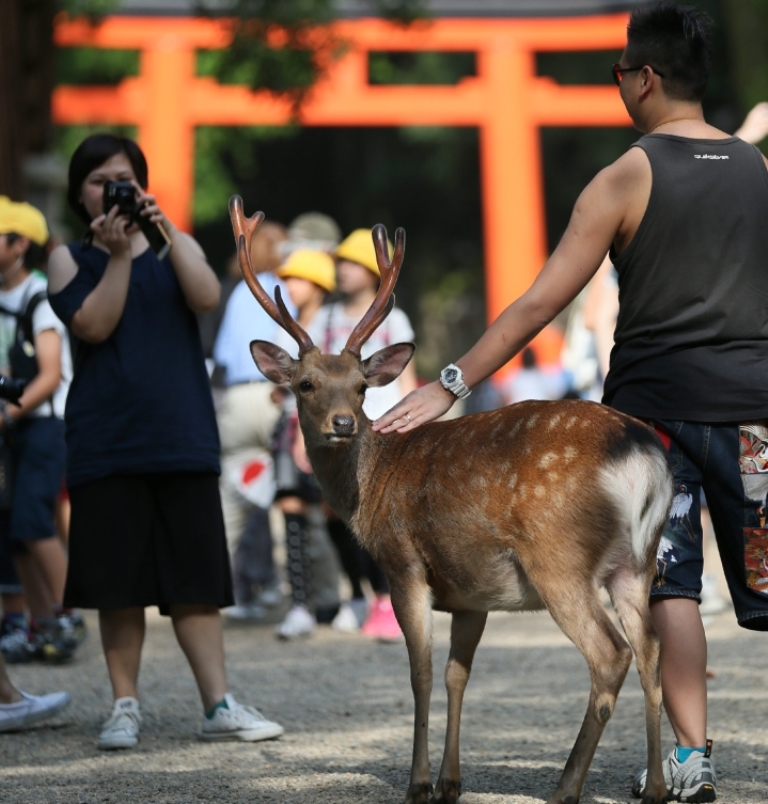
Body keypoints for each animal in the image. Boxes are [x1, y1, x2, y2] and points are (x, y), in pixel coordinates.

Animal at [230, 196, 672, 804]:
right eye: (307, 384)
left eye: (362, 387)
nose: (343, 424)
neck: (372, 487)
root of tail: (641, 458)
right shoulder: (471, 593)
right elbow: (456, 675)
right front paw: (450, 781)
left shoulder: (403, 563)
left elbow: (419, 671)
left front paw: (417, 782)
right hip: (638, 561)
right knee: (652, 650)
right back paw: (655, 787)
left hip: (559, 557)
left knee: (611, 653)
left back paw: (566, 785)